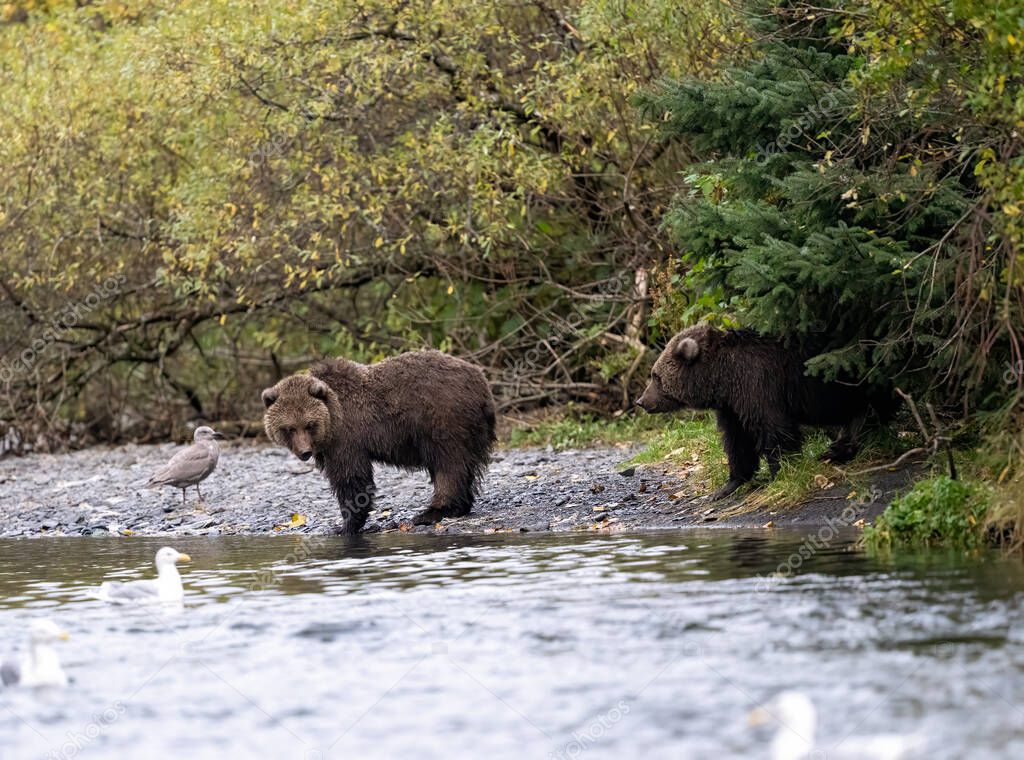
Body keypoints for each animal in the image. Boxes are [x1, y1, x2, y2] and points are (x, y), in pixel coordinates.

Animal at [262, 350, 496, 534]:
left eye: (310, 424)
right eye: (289, 428)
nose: (304, 452)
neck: (334, 418)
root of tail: (482, 383)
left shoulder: (347, 439)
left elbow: (351, 478)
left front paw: (345, 525)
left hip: (442, 420)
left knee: (448, 465)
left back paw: (432, 512)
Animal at [636, 325, 894, 500]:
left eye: (655, 377)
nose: (641, 401)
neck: (721, 377)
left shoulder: (759, 384)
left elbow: (774, 430)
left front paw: (782, 471)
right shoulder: (732, 405)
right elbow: (737, 441)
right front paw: (728, 485)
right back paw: (839, 448)